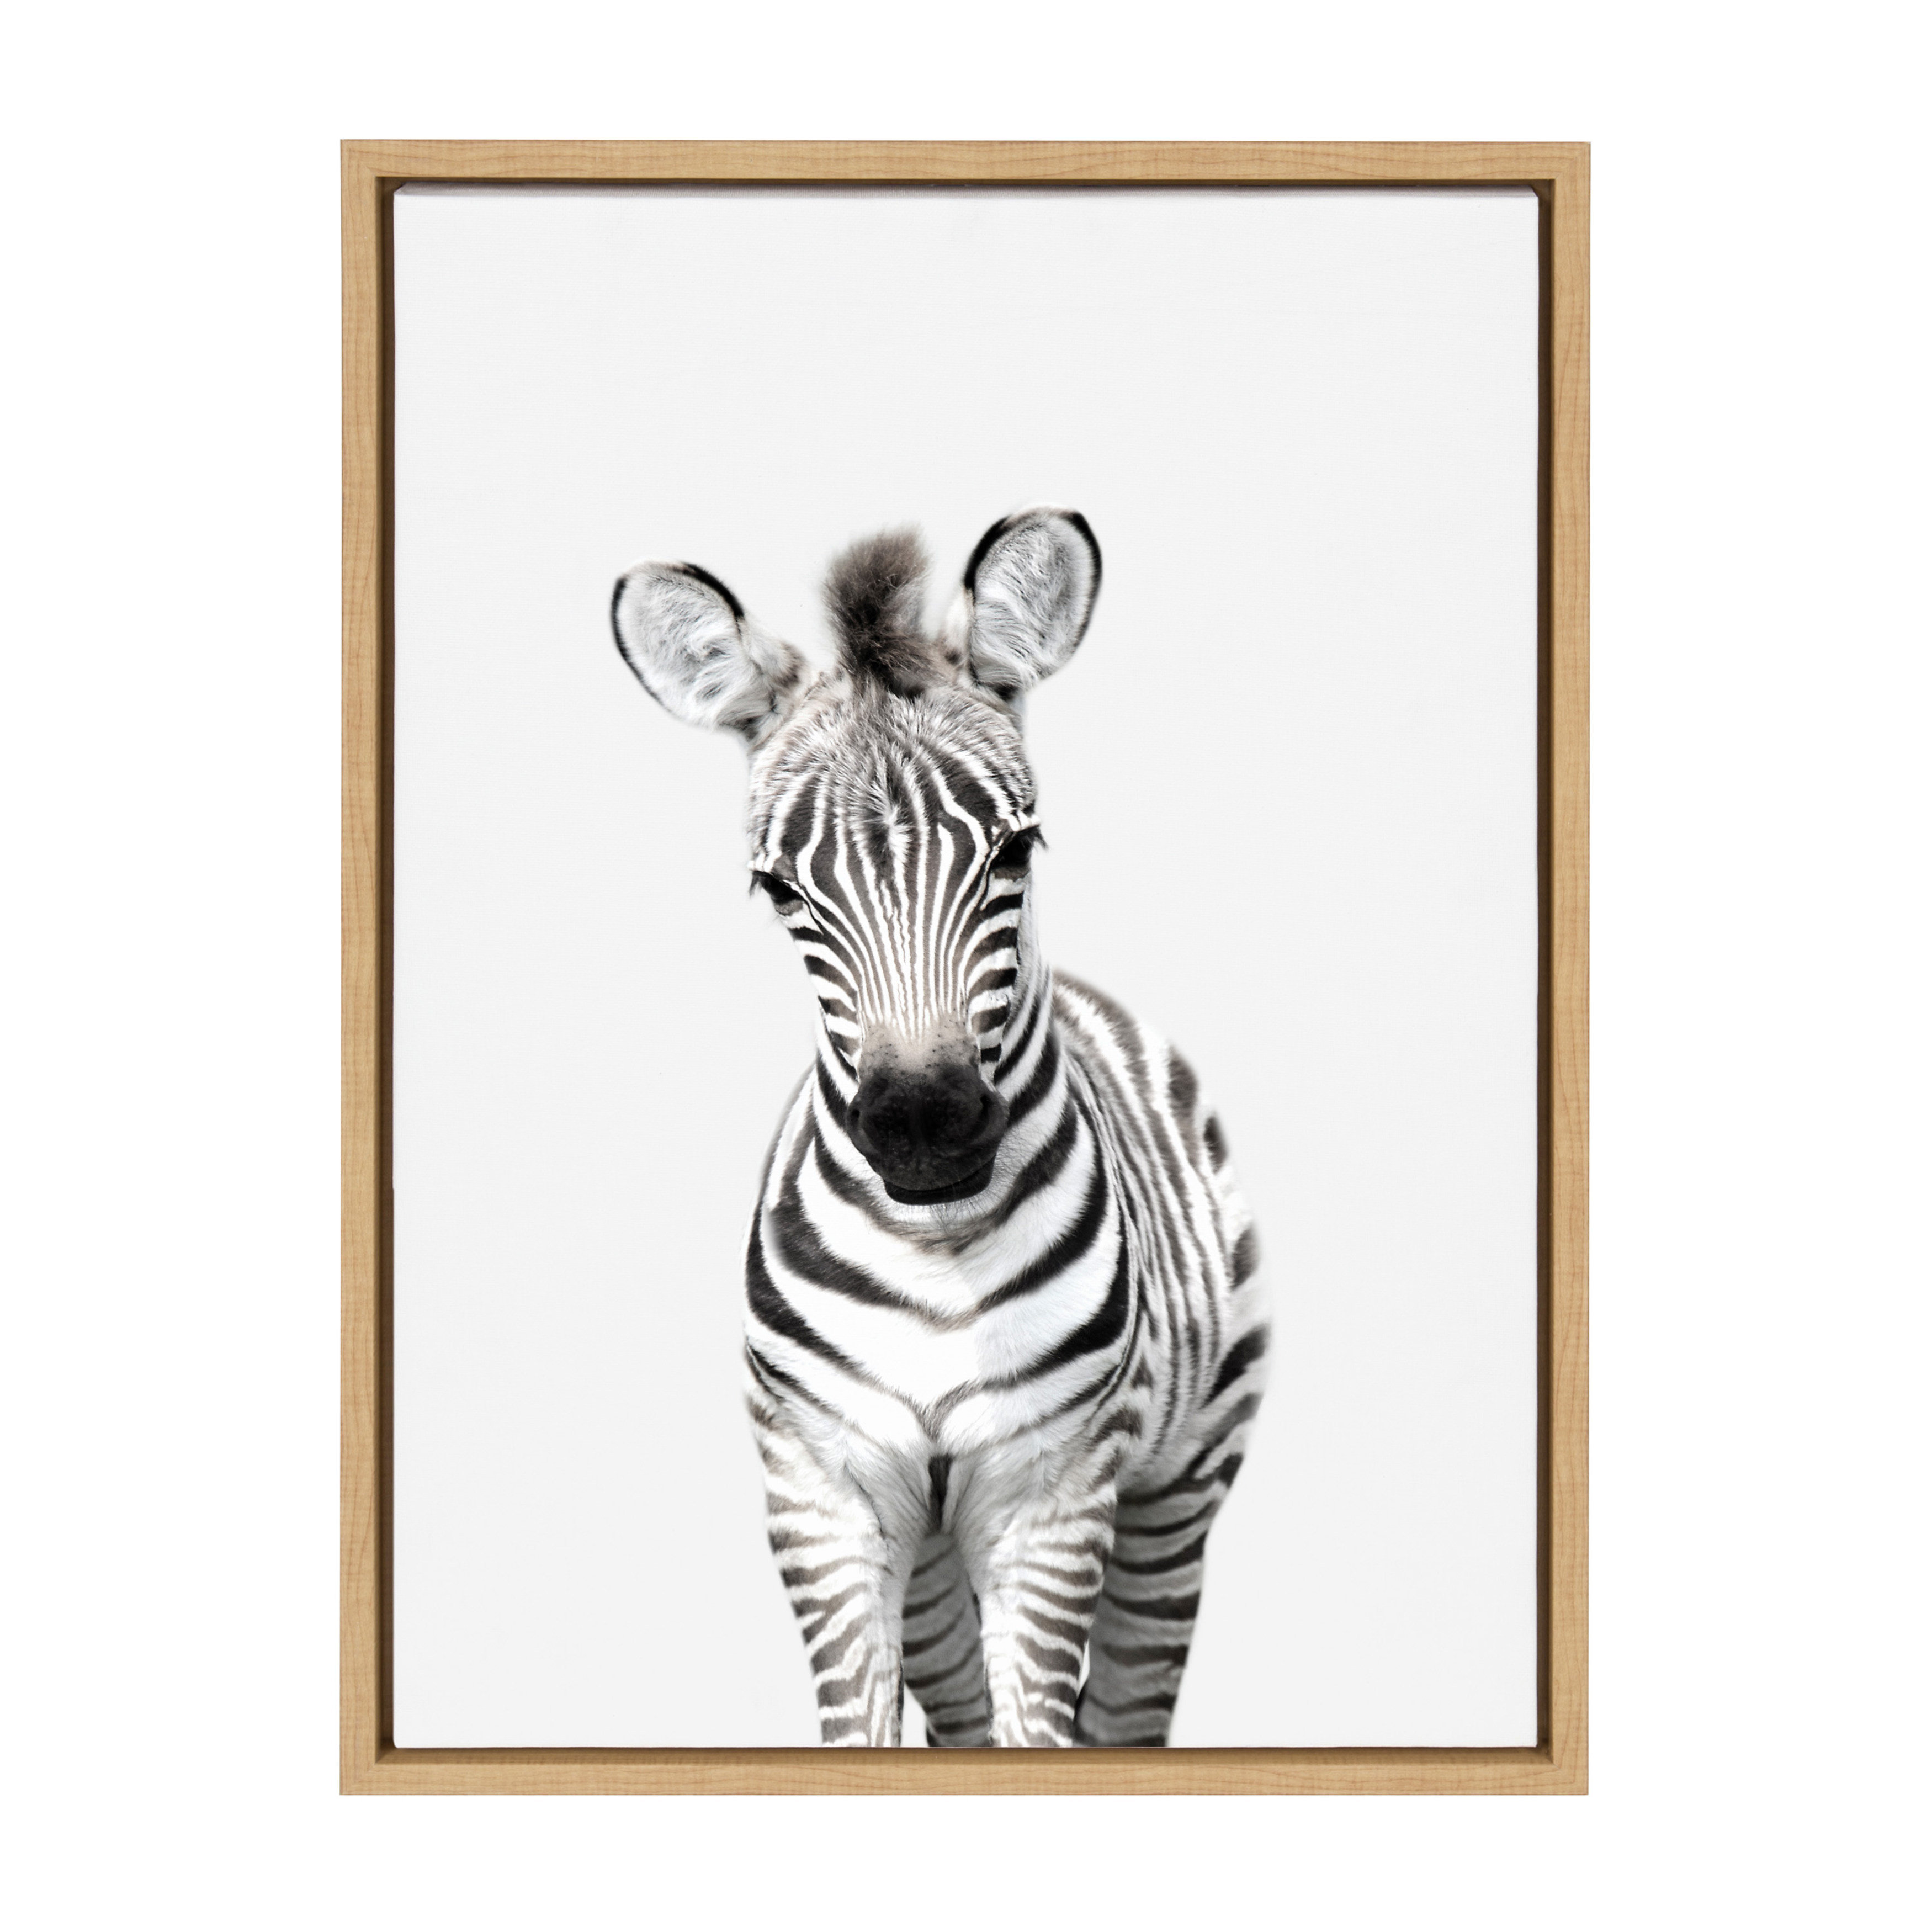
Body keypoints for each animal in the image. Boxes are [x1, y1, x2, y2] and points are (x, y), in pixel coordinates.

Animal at [611, 508, 1269, 1747]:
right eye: (780, 889)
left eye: (1017, 849)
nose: (924, 1130)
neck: (936, 1257)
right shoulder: (821, 1490)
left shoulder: (1052, 1494)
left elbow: (1044, 1732)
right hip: (925, 1558)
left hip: (1180, 1483)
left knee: (1128, 1708)